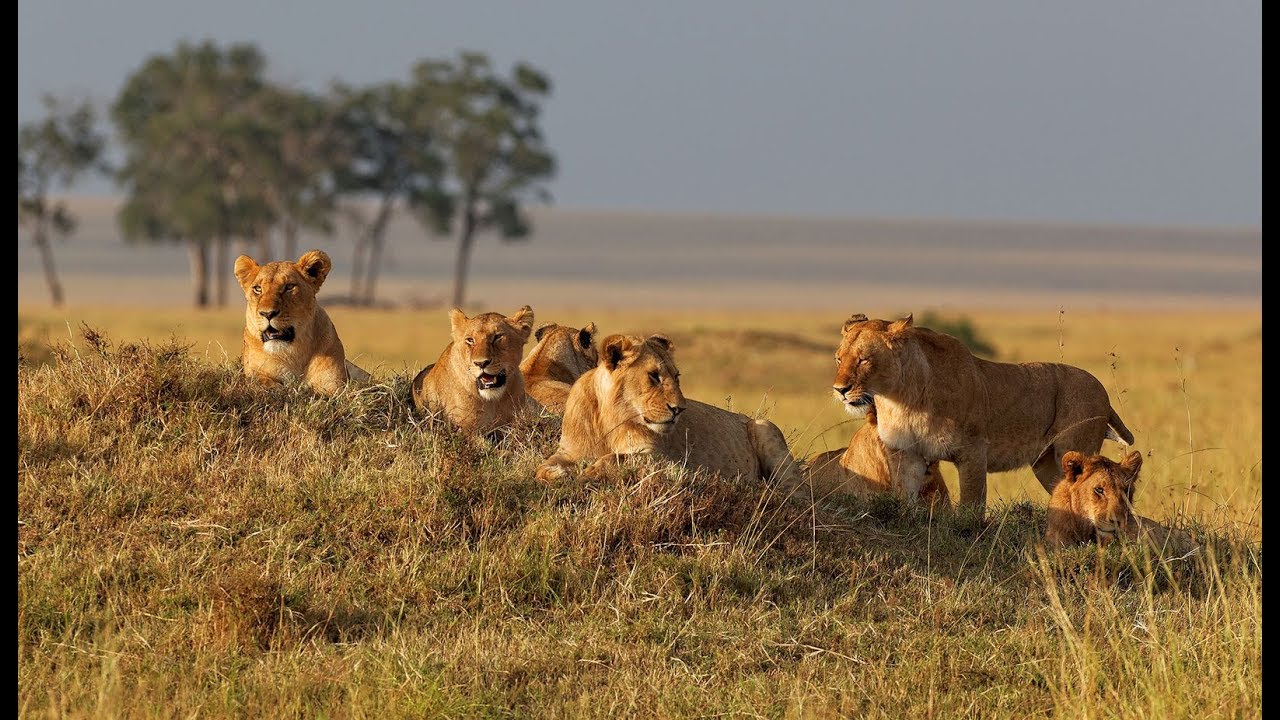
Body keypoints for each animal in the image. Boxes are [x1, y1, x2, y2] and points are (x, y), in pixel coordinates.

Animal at [233, 249, 370, 395]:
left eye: (289, 287)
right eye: (258, 289)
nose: (267, 314)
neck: (294, 354)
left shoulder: (335, 383)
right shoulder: (254, 372)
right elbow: (263, 381)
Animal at [535, 333, 802, 490]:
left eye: (676, 376)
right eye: (653, 376)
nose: (679, 409)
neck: (609, 420)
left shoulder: (663, 460)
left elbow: (615, 458)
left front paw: (588, 474)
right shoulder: (568, 451)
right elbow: (543, 467)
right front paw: (559, 474)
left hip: (764, 426)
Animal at [832, 313, 1133, 512]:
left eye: (863, 359)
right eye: (839, 358)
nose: (840, 389)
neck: (902, 400)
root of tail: (1102, 389)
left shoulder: (973, 451)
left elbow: (971, 506)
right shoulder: (907, 455)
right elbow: (905, 497)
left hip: (1073, 449)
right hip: (1047, 464)